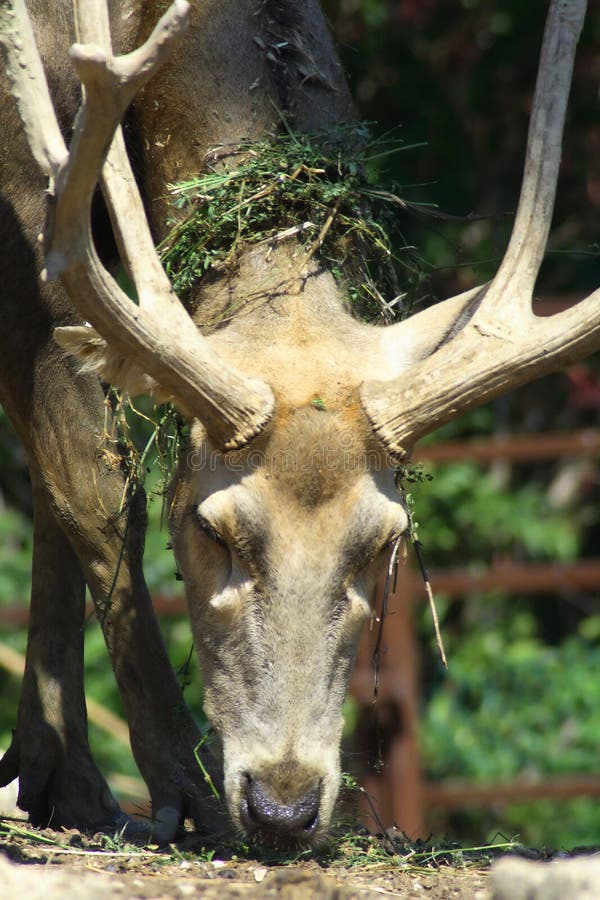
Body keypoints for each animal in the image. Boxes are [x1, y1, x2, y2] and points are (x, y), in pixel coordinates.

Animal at [0, 0, 597, 847]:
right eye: (211, 527)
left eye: (387, 542)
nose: (283, 805)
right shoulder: (29, 202)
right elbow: (94, 488)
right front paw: (173, 791)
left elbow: (57, 499)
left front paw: (54, 773)